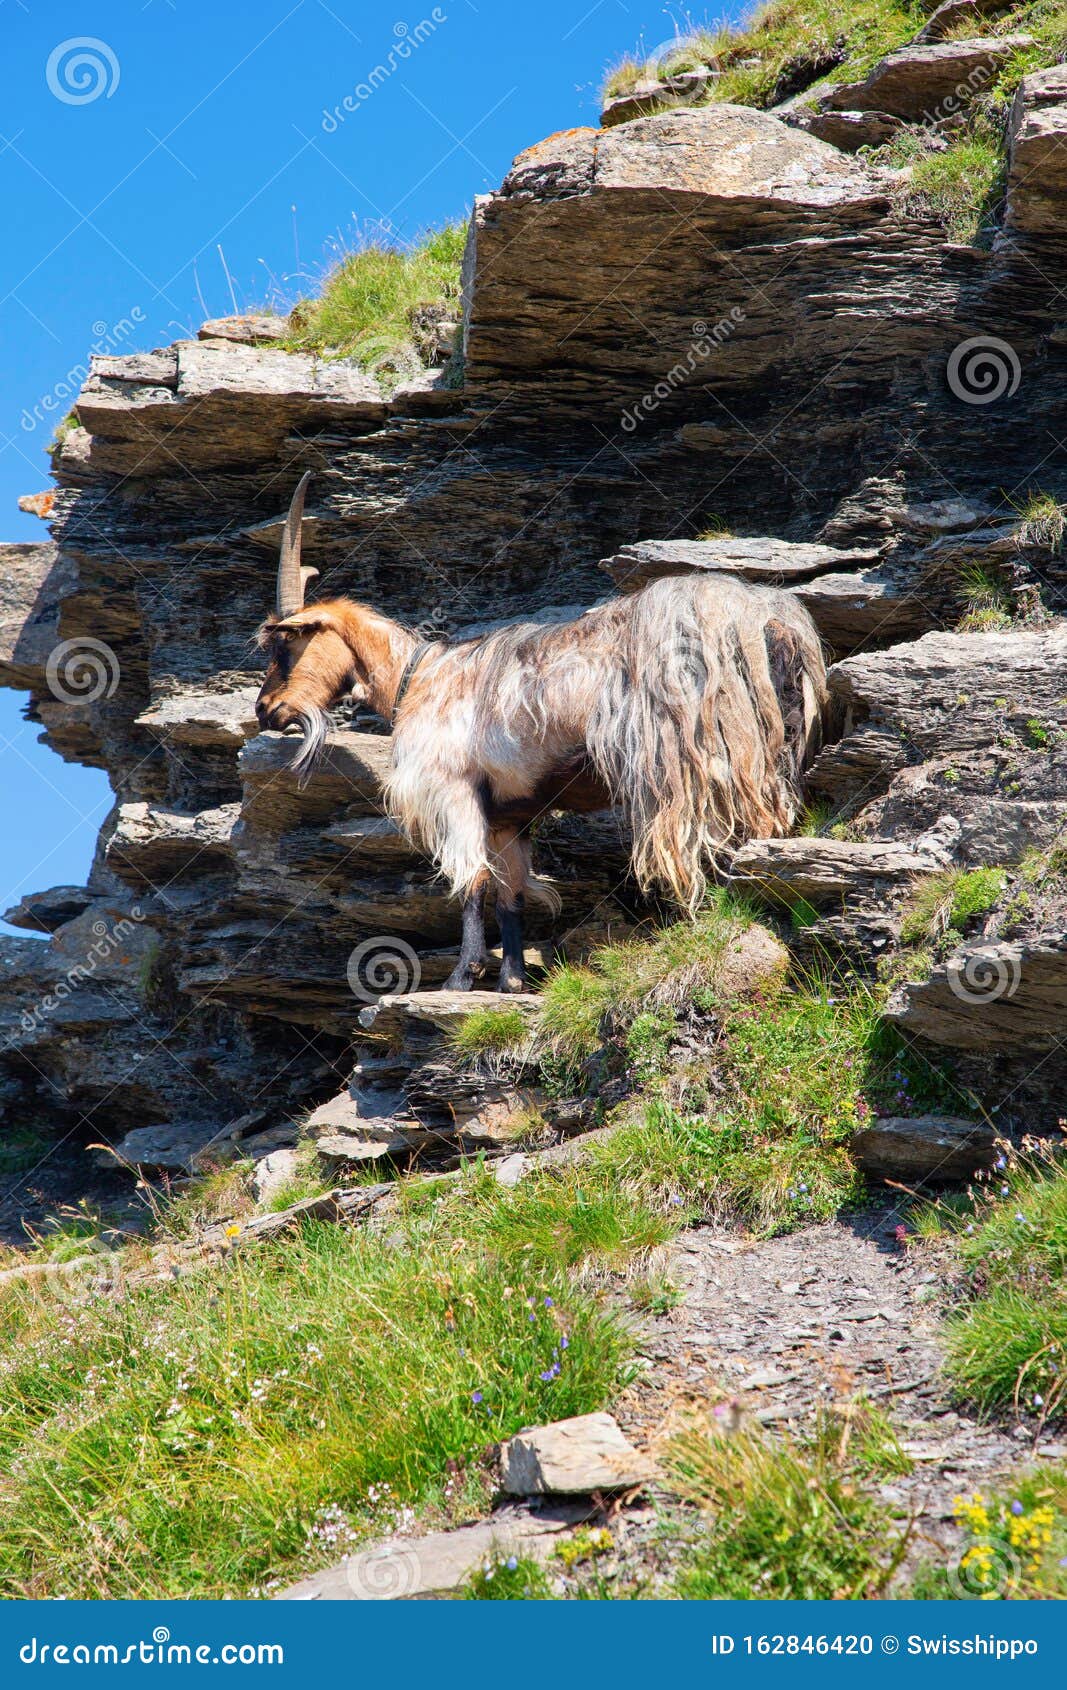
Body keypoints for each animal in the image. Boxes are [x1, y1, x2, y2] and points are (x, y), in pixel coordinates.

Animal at [255, 473, 828, 992]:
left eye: (285, 644)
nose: (265, 711)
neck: (418, 679)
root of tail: (767, 620)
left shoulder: (453, 786)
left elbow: (472, 880)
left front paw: (462, 978)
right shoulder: (512, 815)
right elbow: (510, 893)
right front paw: (511, 980)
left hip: (696, 752)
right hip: (770, 745)